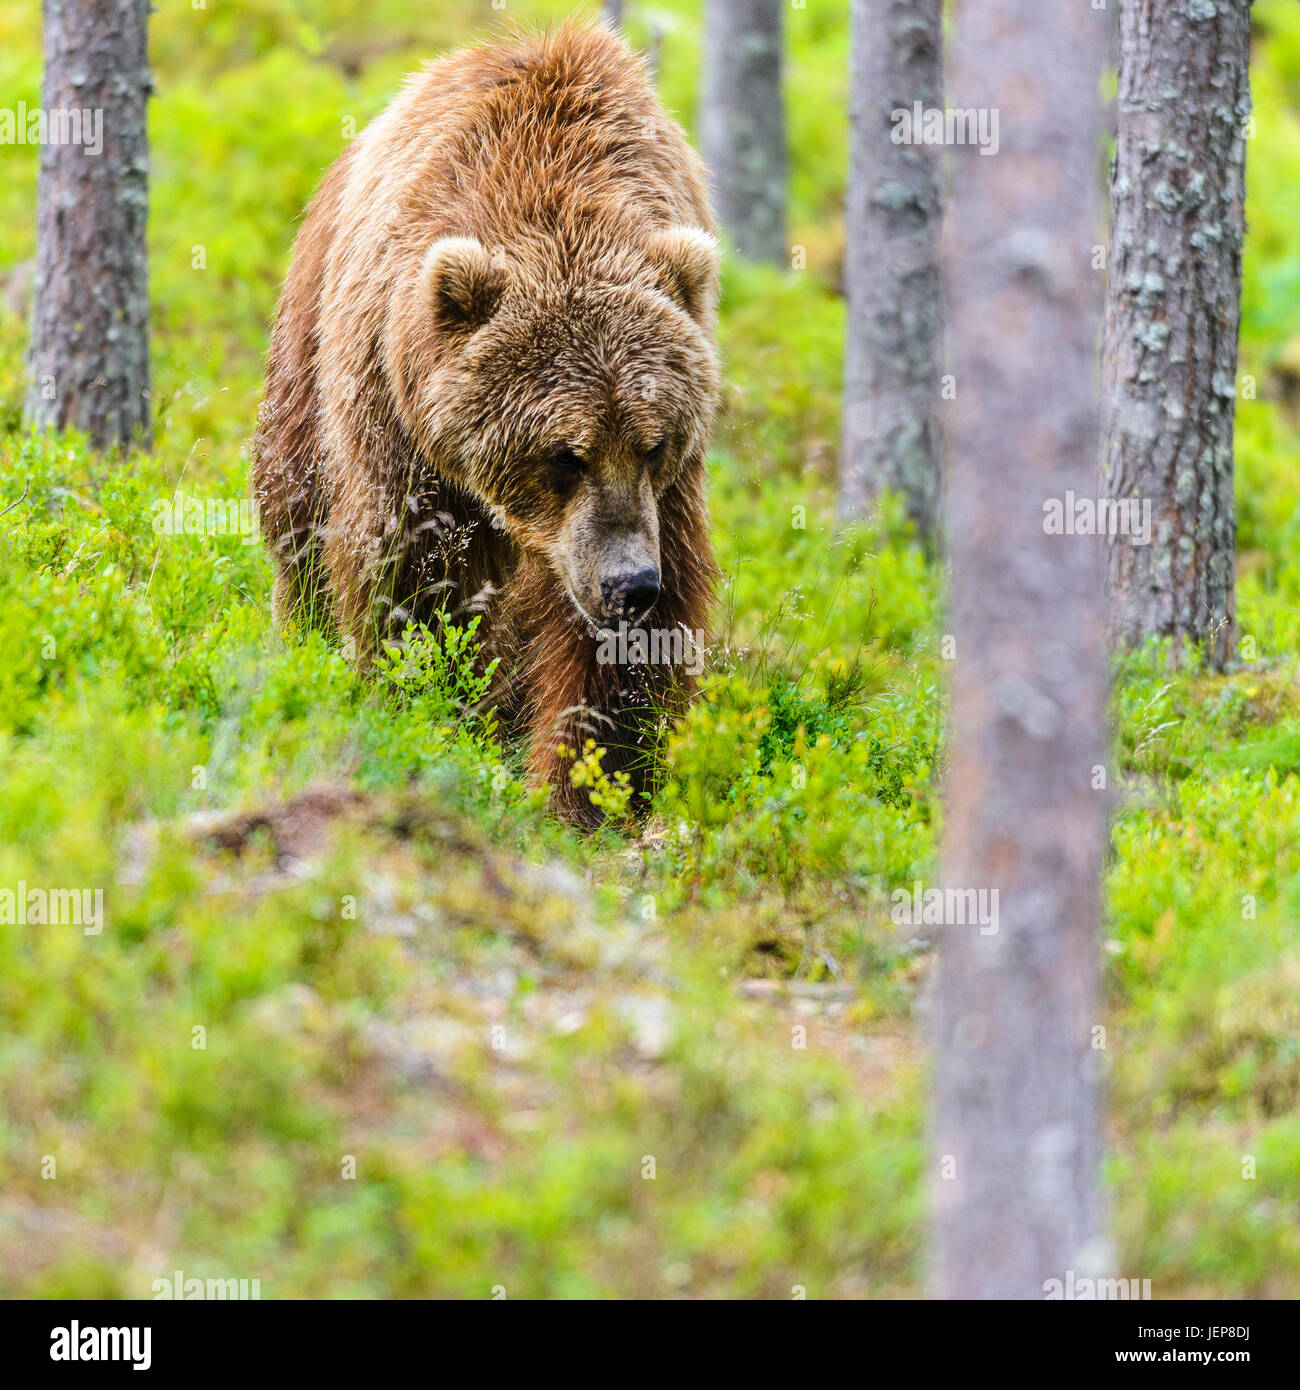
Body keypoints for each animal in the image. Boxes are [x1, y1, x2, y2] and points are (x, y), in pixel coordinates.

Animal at [252, 21, 721, 825]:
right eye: (566, 454)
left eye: (653, 444)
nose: (629, 584)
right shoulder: (400, 416)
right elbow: (412, 575)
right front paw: (425, 708)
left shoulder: (656, 501)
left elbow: (619, 645)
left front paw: (585, 786)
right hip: (307, 342)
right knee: (295, 513)